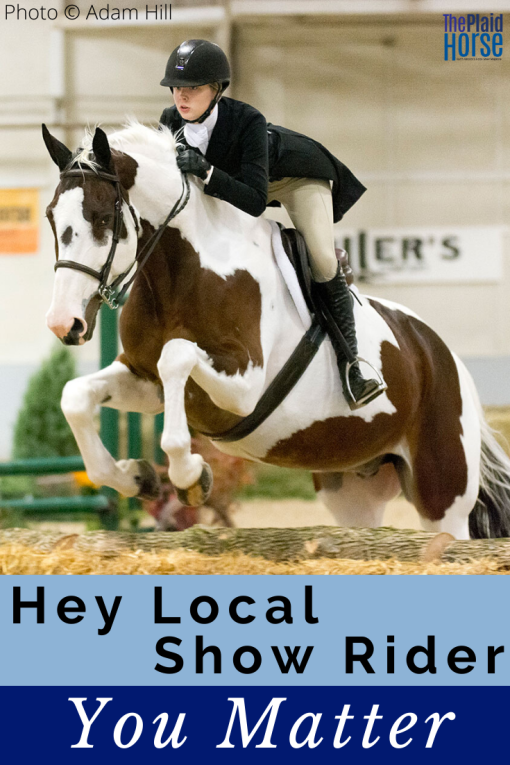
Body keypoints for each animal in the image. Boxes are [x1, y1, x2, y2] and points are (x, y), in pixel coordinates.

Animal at [42, 121, 510, 541]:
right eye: (50, 218)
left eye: (103, 219)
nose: (65, 324)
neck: (184, 271)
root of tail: (441, 354)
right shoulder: (146, 381)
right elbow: (75, 397)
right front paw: (137, 478)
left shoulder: (244, 387)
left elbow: (176, 354)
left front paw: (191, 477)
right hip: (353, 488)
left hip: (443, 491)